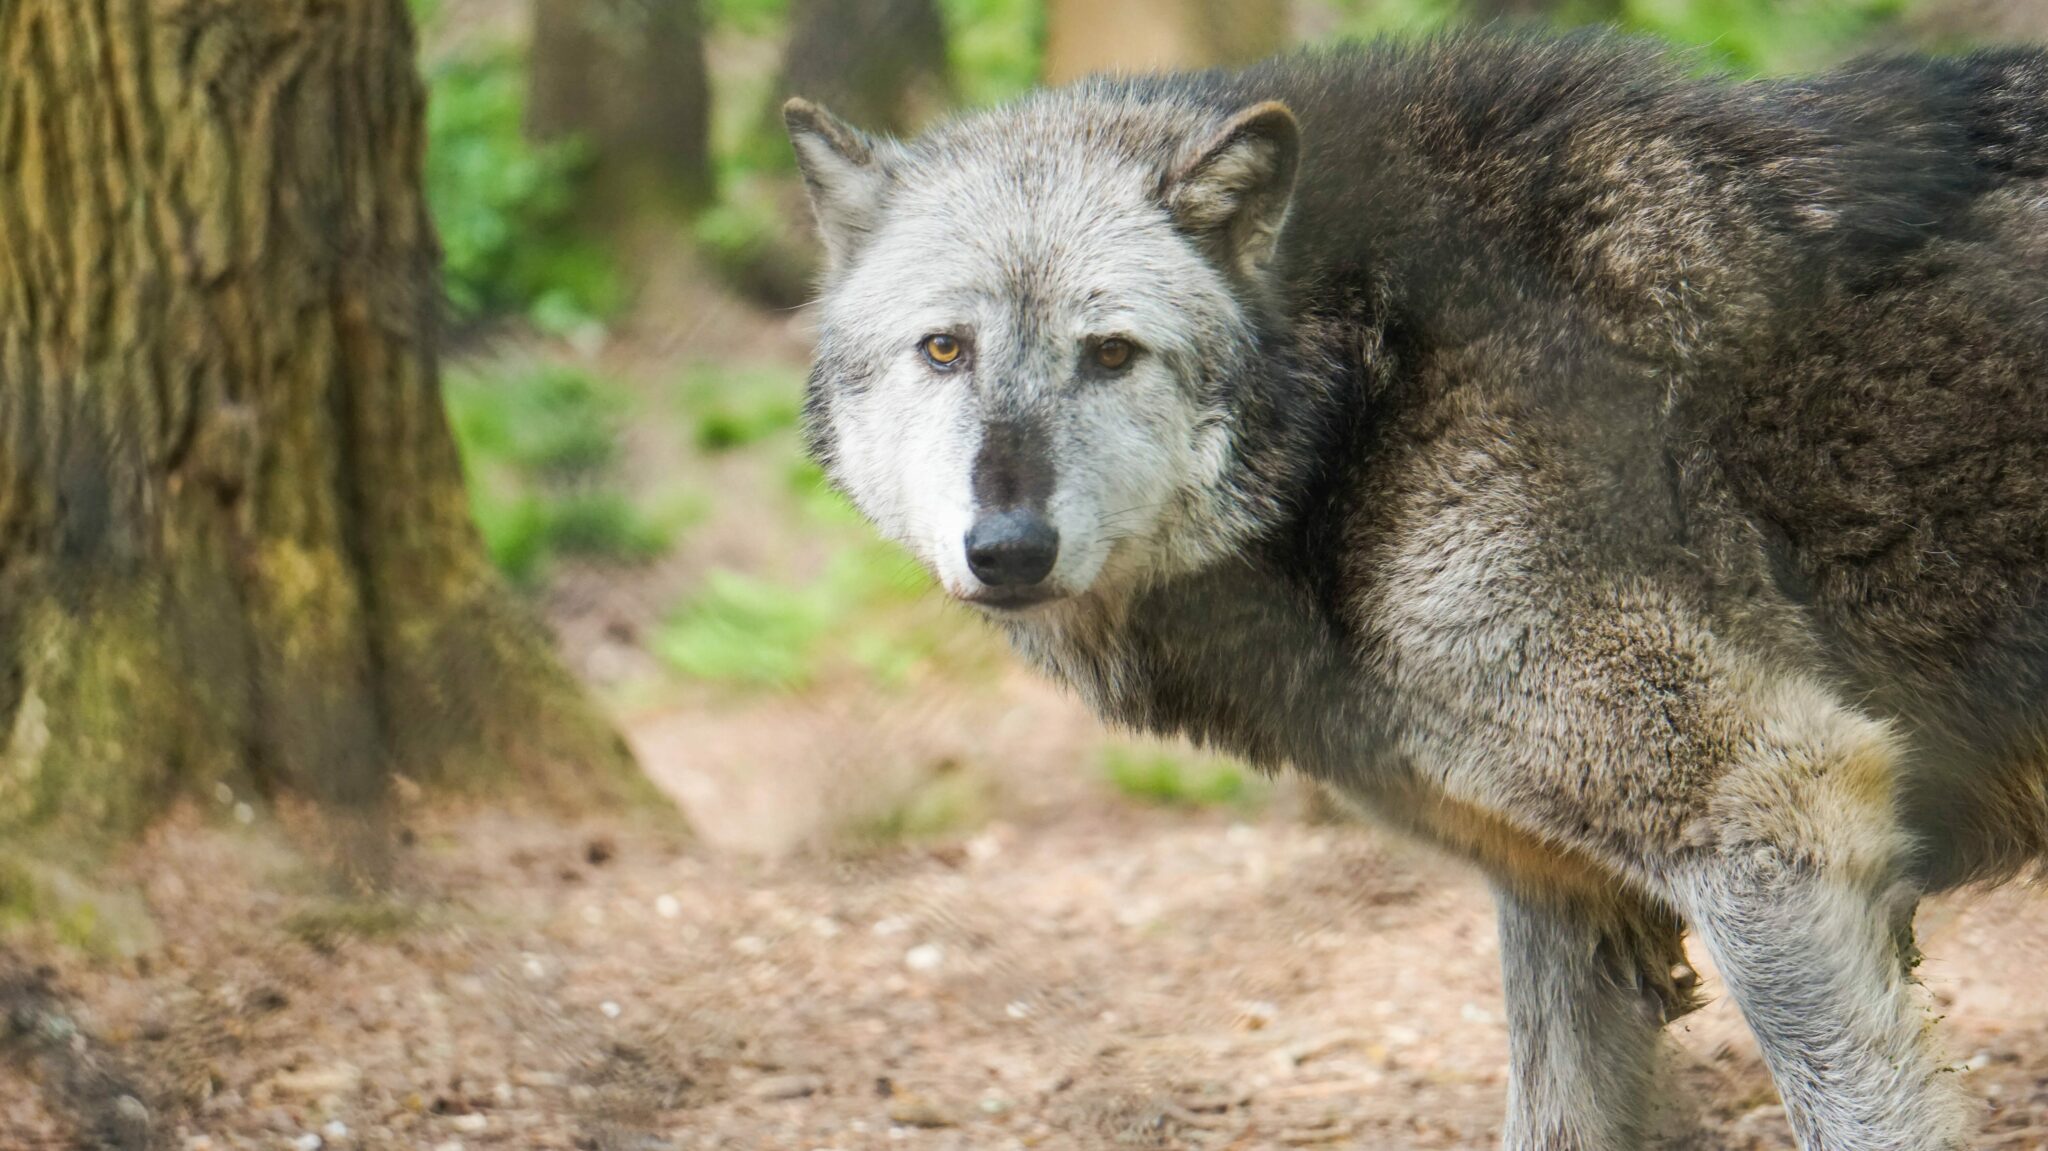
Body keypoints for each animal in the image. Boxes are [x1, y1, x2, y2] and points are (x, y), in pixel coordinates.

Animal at [784, 30, 2048, 1150]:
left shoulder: (1775, 814)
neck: (1371, 386)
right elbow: (1550, 1121)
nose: (1006, 545)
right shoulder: (1562, 893)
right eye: (943, 349)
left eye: (1109, 353)